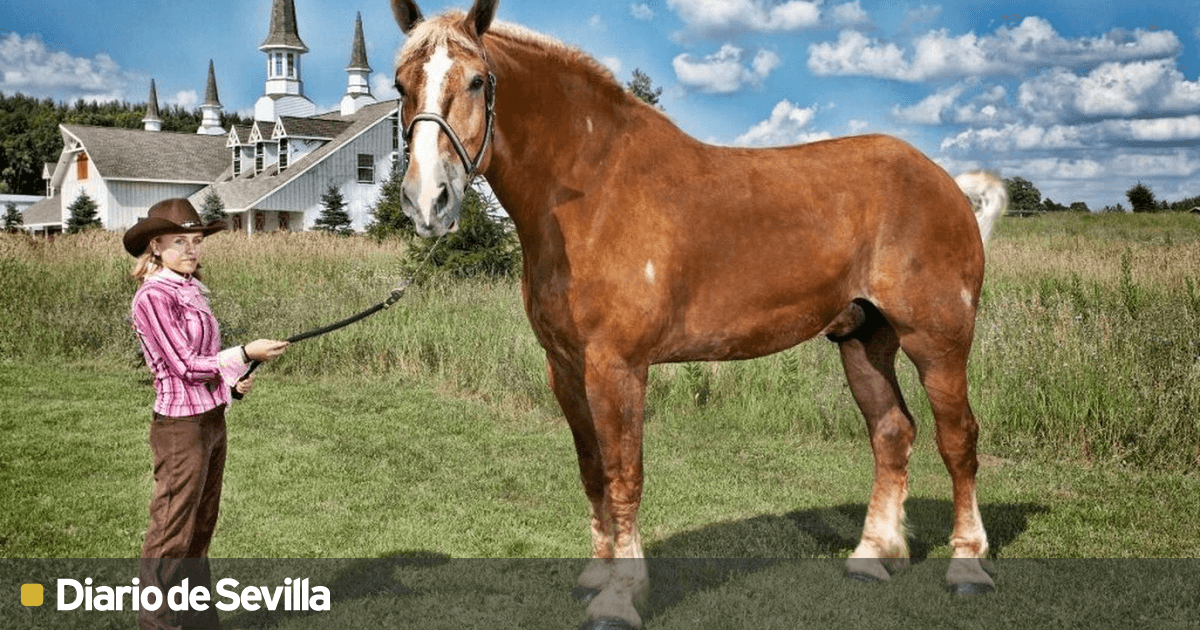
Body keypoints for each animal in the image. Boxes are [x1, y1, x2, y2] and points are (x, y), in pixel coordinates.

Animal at [387, 1, 1008, 627]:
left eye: (477, 81)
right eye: (401, 86)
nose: (427, 201)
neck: (596, 190)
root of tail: (946, 183)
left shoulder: (617, 367)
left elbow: (623, 475)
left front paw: (620, 596)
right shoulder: (563, 367)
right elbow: (591, 471)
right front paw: (596, 576)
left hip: (937, 341)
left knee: (958, 440)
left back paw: (968, 567)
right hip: (864, 339)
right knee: (891, 432)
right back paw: (873, 555)